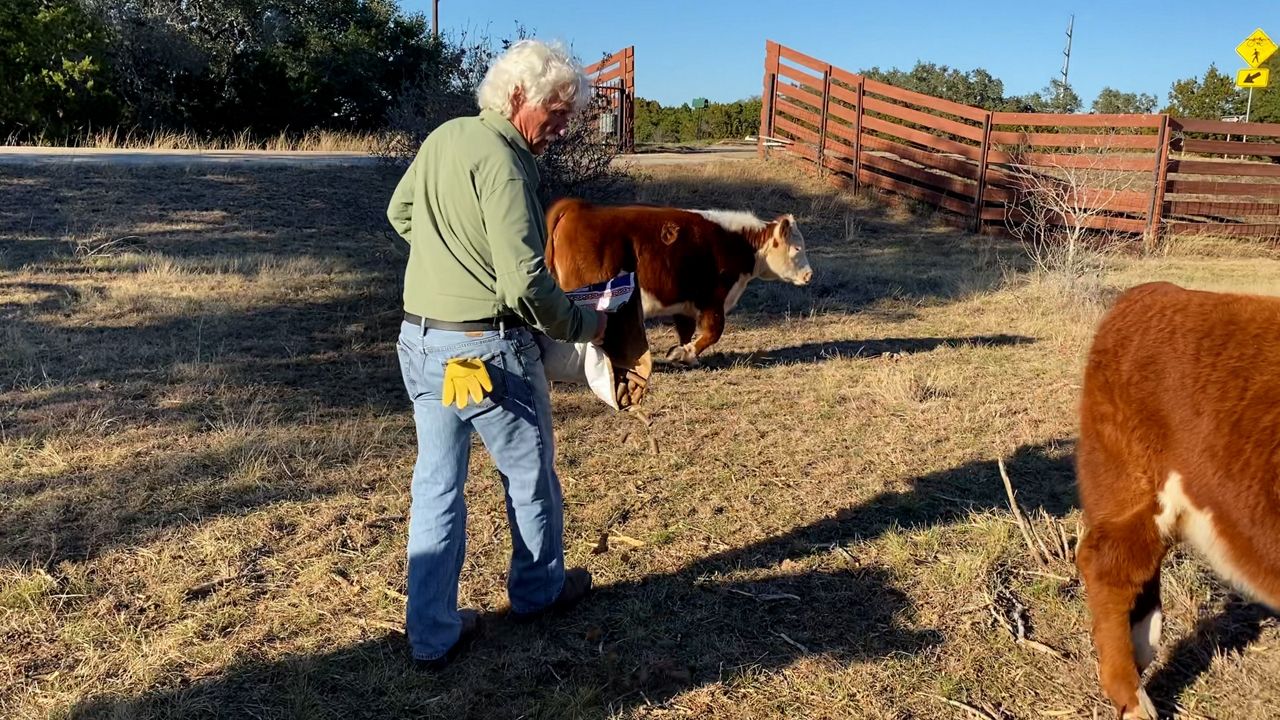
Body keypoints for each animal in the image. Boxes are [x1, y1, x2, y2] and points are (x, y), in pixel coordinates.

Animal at [545, 196, 814, 363]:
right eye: (797, 248)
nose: (809, 275)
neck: (739, 242)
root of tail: (577, 209)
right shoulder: (712, 299)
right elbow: (713, 332)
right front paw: (684, 354)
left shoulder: (685, 303)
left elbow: (686, 330)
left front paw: (683, 354)